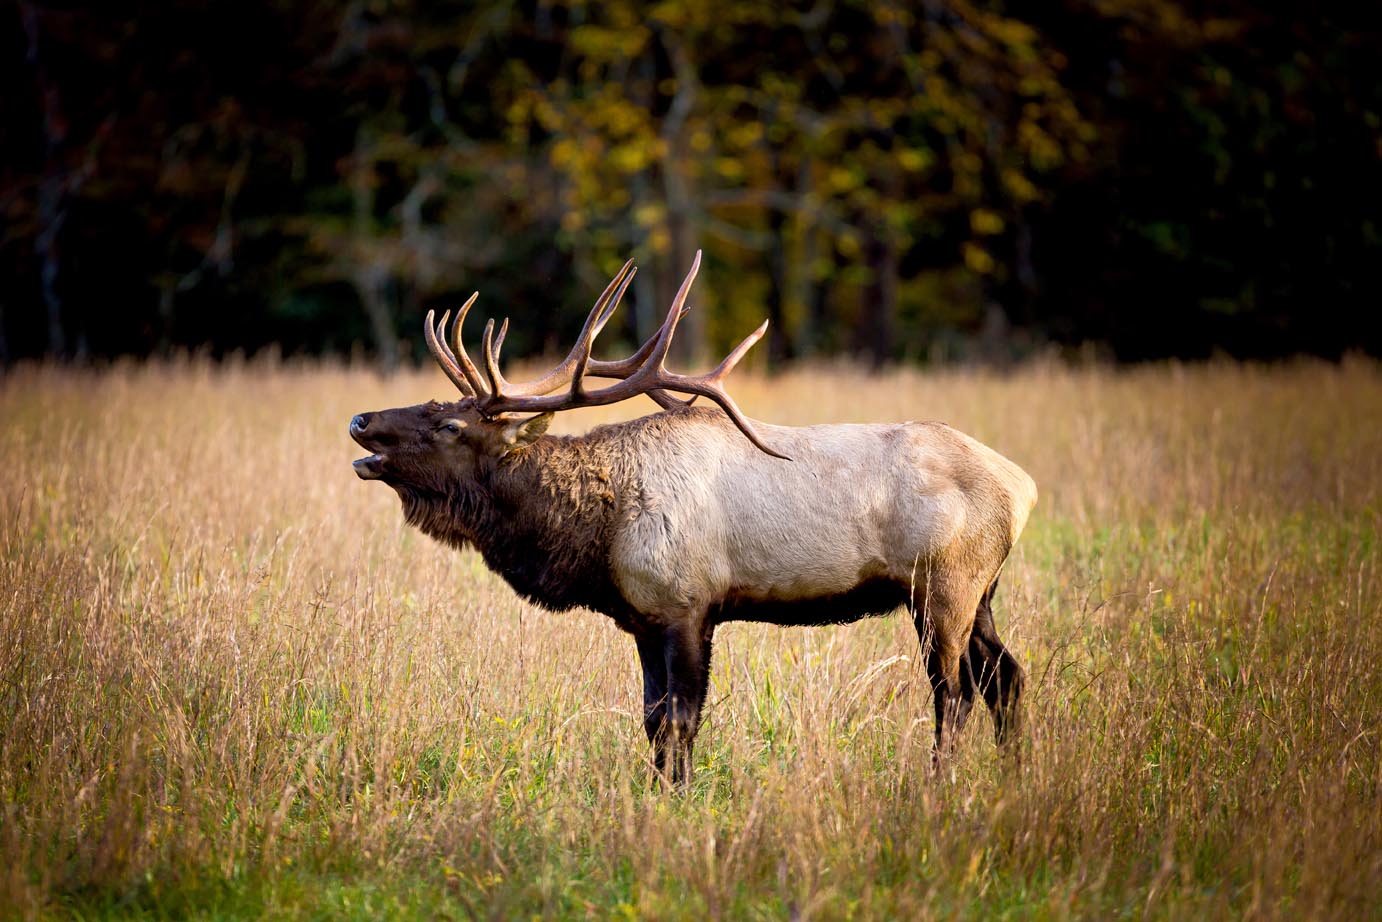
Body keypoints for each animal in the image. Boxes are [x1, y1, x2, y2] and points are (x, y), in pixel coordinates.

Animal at [350, 252, 1037, 786]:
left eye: (449, 424)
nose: (361, 420)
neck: (595, 535)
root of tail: (1022, 486)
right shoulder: (643, 618)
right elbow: (653, 720)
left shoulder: (685, 603)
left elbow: (678, 721)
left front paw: (674, 799)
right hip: (979, 590)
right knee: (1006, 676)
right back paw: (1012, 776)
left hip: (942, 586)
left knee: (955, 692)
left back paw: (939, 785)